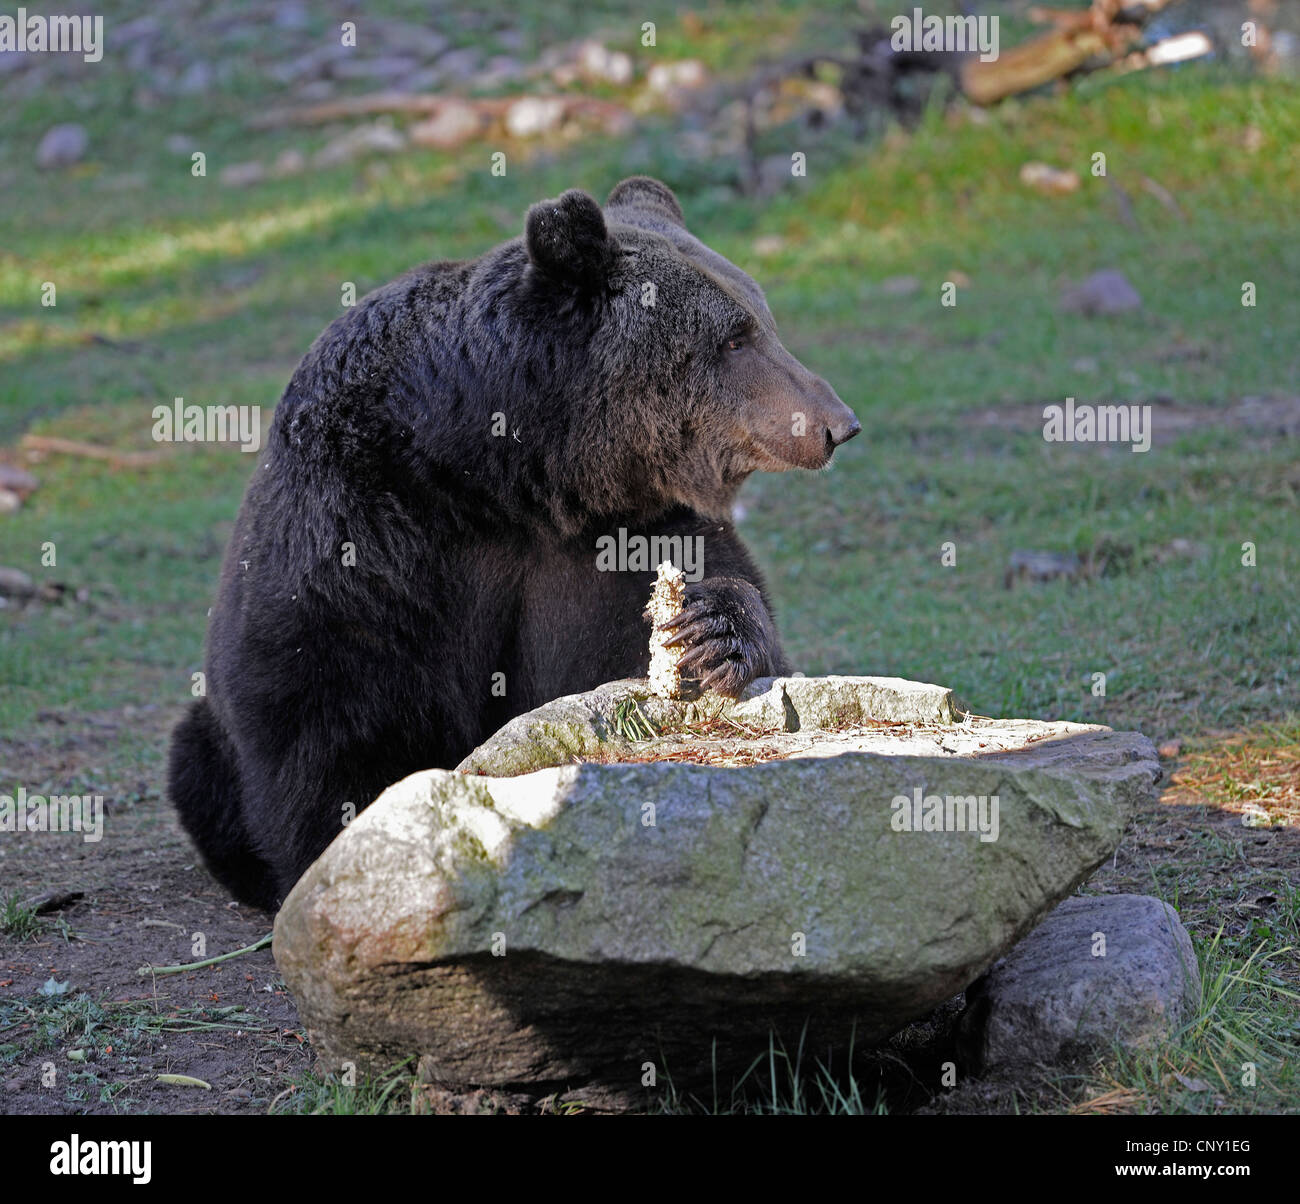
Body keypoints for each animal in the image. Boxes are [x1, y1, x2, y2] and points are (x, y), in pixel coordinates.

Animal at [167, 177, 859, 912]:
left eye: (762, 320)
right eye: (733, 337)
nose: (837, 423)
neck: (510, 476)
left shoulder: (618, 536)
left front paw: (709, 631)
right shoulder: (363, 528)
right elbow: (324, 706)